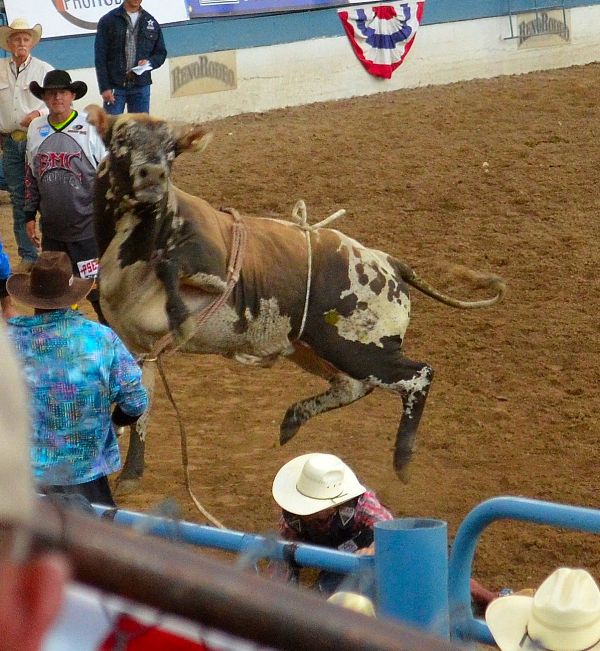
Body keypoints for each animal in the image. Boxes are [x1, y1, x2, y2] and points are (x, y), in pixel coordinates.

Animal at [86, 106, 505, 485]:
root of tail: (388, 262)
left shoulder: (215, 272)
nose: (153, 174)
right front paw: (131, 473)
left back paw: (402, 459)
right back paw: (292, 420)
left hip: (357, 348)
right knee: (352, 386)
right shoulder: (140, 348)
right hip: (311, 348)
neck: (134, 247)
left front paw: (178, 312)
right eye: (120, 140)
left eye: (172, 149)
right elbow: (141, 409)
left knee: (418, 375)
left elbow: (172, 266)